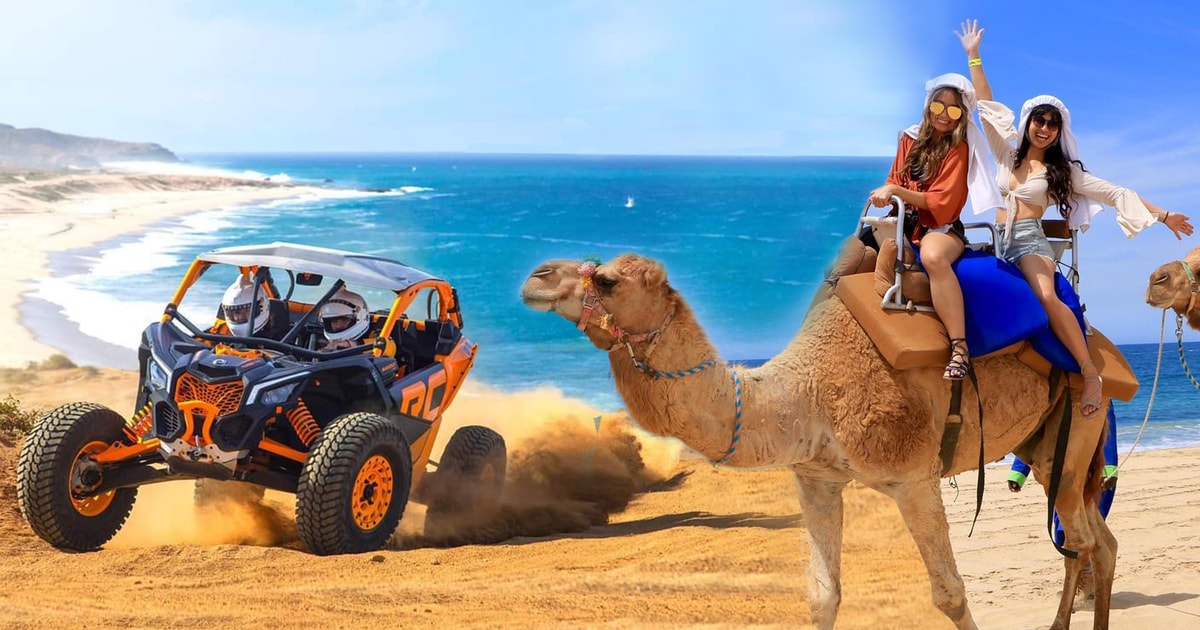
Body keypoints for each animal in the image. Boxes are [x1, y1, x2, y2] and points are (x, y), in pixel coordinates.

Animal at [521, 253, 1115, 630]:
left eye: (605, 280)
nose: (535, 276)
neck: (807, 391)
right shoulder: (817, 479)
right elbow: (822, 595)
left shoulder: (913, 477)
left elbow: (949, 592)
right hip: (1046, 444)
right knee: (1098, 541)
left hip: (1080, 421)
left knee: (1080, 539)